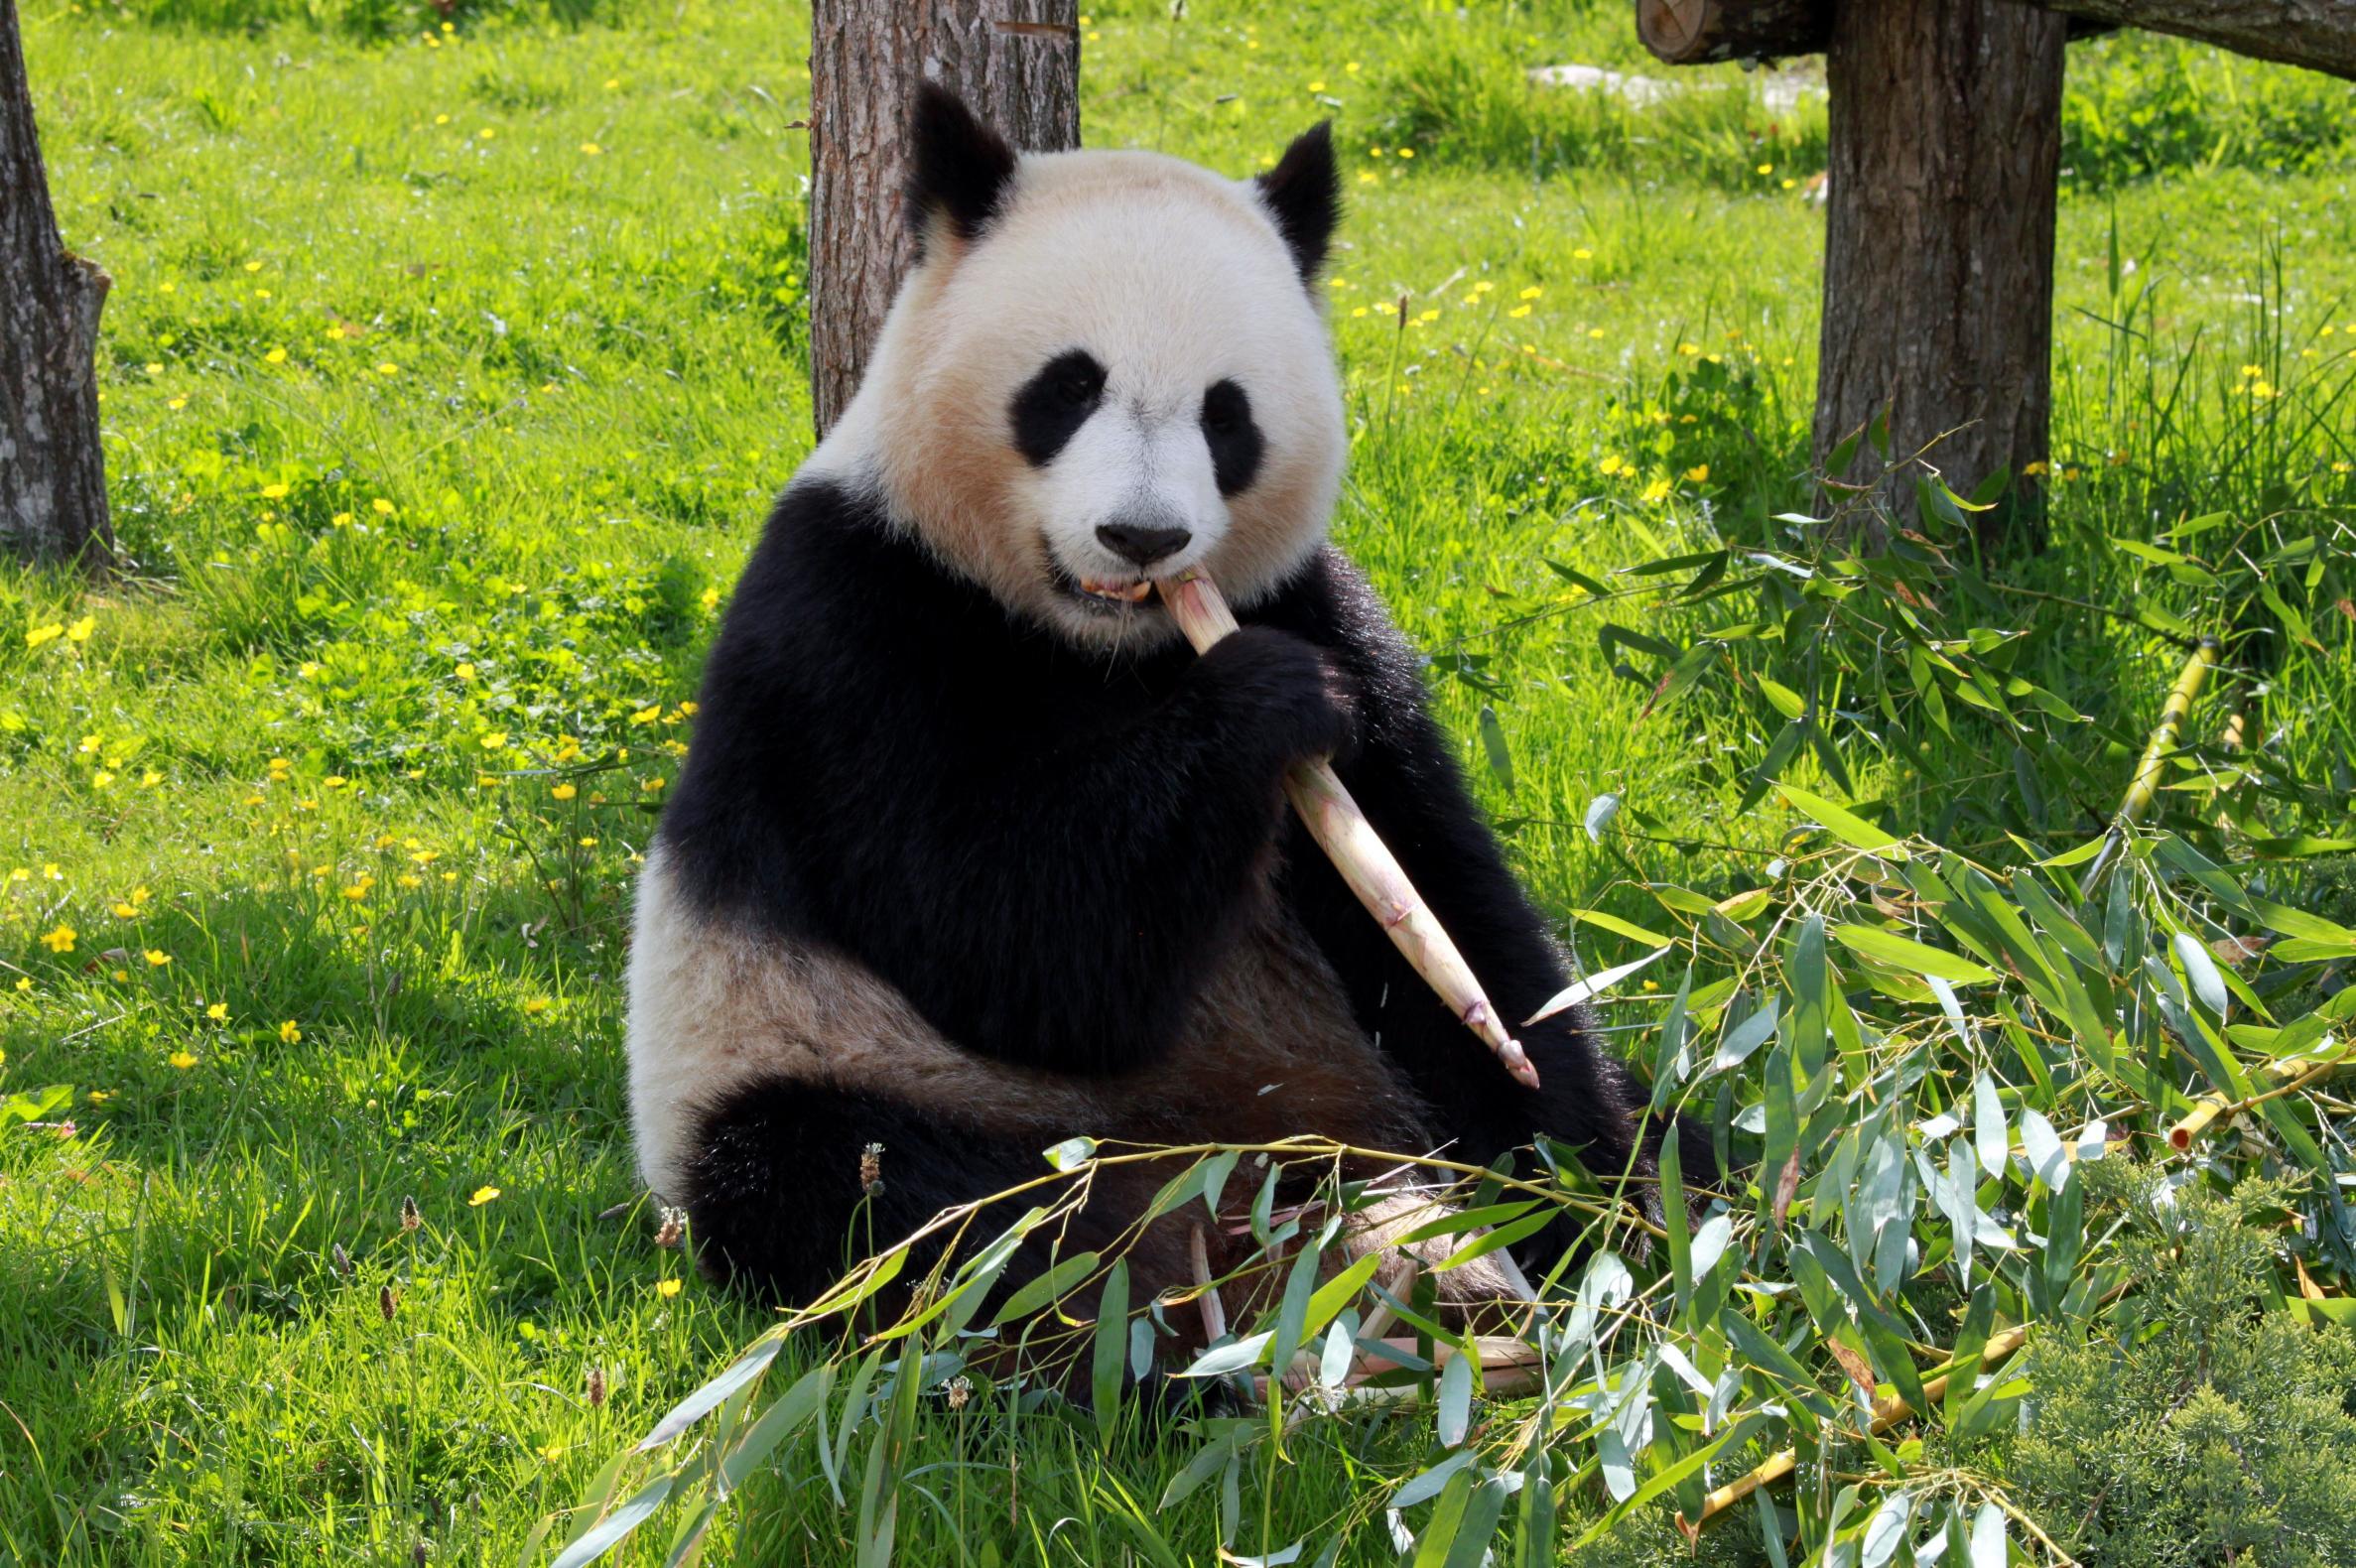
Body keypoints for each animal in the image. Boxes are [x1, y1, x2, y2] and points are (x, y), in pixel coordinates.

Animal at [627, 84, 1711, 1333]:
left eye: (1225, 415)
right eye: (1067, 387)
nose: (1142, 536)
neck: (1104, 644)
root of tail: (1261, 1149)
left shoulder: (1317, 603)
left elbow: (1449, 913)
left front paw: (1590, 1188)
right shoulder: (852, 619)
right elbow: (1011, 941)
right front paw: (1261, 702)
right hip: (824, 1061)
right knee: (896, 1204)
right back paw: (1191, 1301)